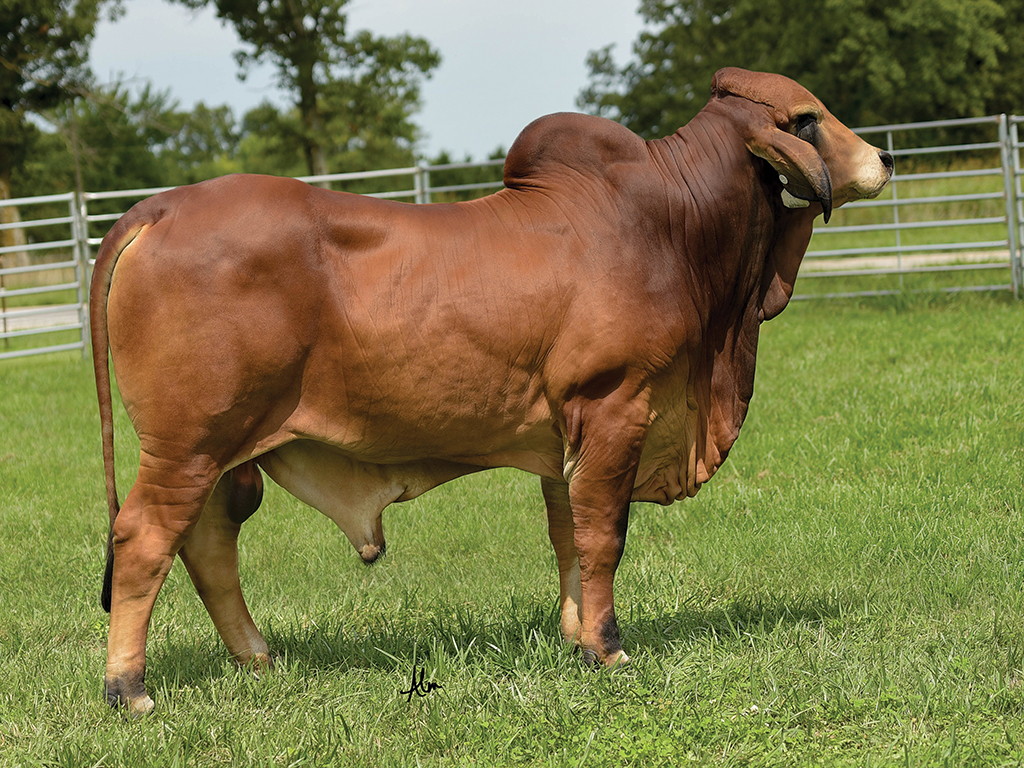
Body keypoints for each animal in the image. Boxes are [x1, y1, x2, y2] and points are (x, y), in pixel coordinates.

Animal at [91, 68, 892, 714]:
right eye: (807, 119)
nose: (883, 158)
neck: (676, 226)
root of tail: (159, 207)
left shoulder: (567, 434)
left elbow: (568, 533)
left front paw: (574, 636)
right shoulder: (617, 407)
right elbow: (604, 535)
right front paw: (608, 648)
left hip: (221, 453)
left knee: (207, 542)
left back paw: (256, 658)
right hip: (188, 444)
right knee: (144, 539)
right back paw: (129, 689)